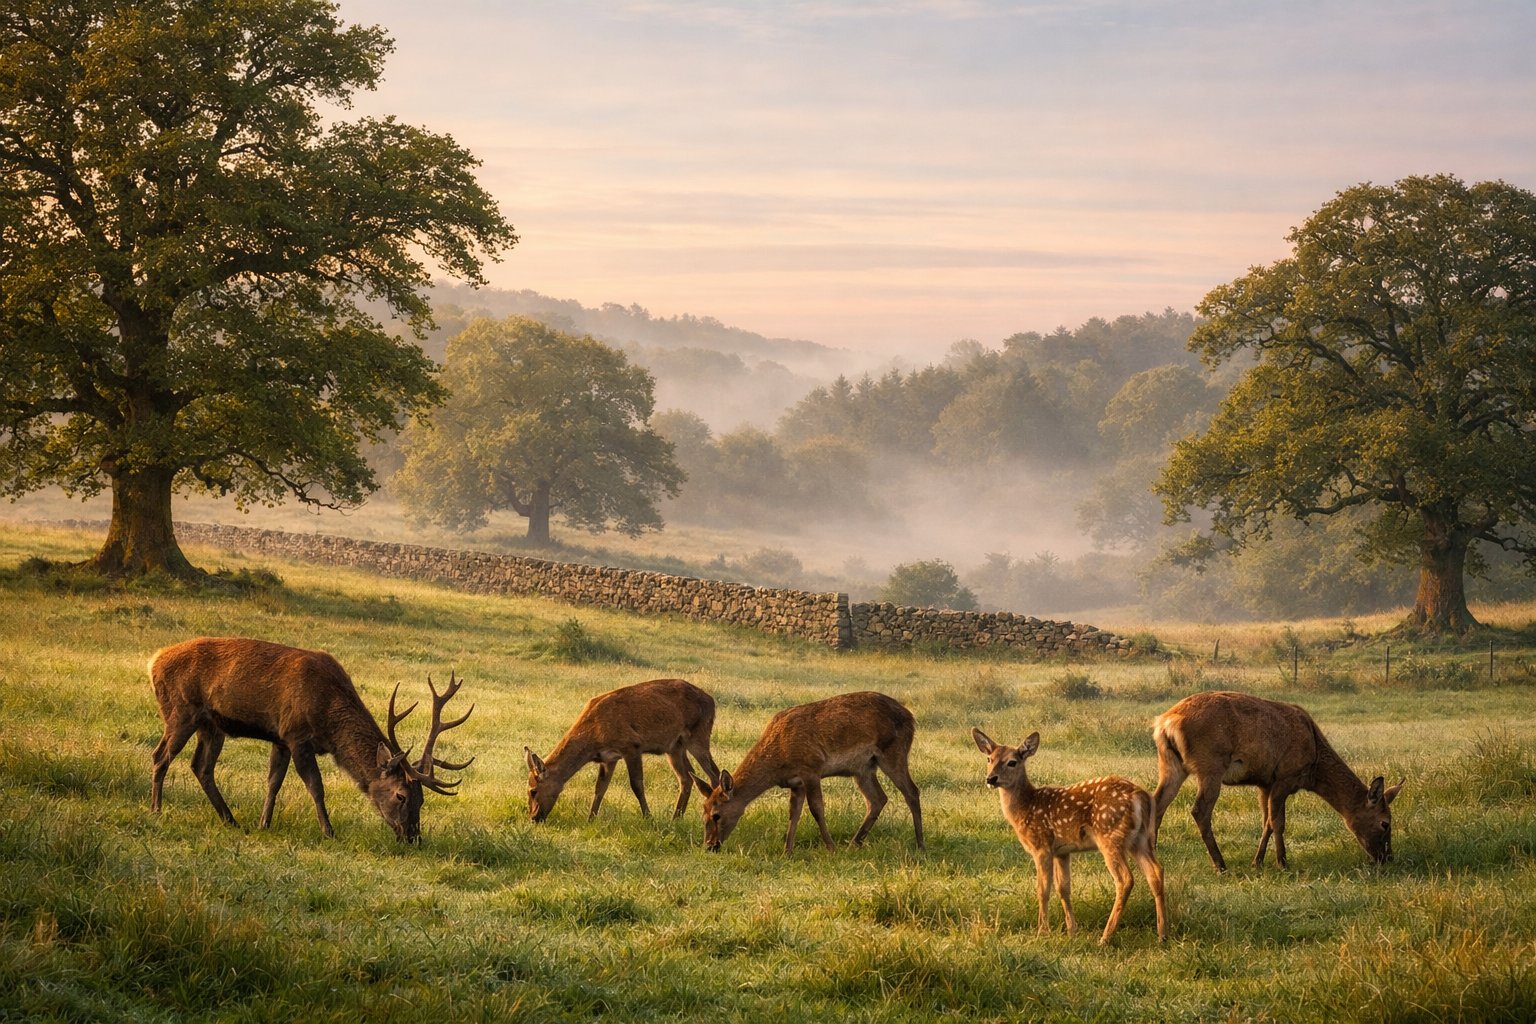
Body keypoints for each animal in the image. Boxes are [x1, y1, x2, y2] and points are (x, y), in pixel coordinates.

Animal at [148, 636, 474, 842]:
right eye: (400, 795)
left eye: (422, 799)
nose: (413, 837)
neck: (328, 716)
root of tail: (153, 661)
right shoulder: (296, 734)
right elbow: (316, 786)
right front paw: (328, 832)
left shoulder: (280, 738)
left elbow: (273, 782)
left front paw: (263, 824)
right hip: (181, 710)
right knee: (160, 756)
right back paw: (156, 810)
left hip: (211, 725)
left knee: (201, 767)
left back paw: (231, 819)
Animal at [524, 677, 721, 822]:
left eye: (533, 790)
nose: (534, 817)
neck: (594, 736)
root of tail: (712, 701)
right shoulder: (608, 758)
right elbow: (600, 788)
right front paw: (590, 819)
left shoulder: (631, 745)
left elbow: (637, 785)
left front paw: (648, 818)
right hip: (674, 747)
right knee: (686, 777)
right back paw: (676, 818)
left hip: (700, 735)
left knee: (714, 774)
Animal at [693, 690, 924, 854]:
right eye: (702, 812)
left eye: (716, 815)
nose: (710, 846)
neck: (779, 760)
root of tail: (911, 718)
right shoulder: (796, 782)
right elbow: (793, 813)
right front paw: (787, 852)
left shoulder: (811, 768)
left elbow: (816, 809)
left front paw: (831, 848)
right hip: (864, 768)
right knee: (877, 799)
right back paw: (854, 843)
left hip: (894, 751)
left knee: (912, 791)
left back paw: (920, 845)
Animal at [972, 728, 1167, 944]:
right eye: (989, 758)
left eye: (1012, 762)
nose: (991, 778)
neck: (1026, 807)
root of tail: (1142, 796)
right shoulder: (1062, 851)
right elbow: (1064, 889)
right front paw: (1072, 931)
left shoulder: (1042, 846)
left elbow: (1043, 889)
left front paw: (1042, 933)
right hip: (1140, 840)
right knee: (1156, 872)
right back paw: (1162, 934)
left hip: (1109, 835)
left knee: (1125, 879)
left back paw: (1105, 937)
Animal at [1151, 690, 1404, 871]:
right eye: (1385, 823)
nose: (1387, 858)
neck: (1313, 766)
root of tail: (1166, 722)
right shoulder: (1285, 776)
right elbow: (1278, 822)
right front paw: (1282, 862)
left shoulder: (1265, 783)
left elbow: (1267, 822)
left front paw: (1258, 862)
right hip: (1210, 764)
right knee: (1200, 810)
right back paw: (1220, 865)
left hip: (1170, 764)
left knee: (1157, 803)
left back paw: (1152, 855)